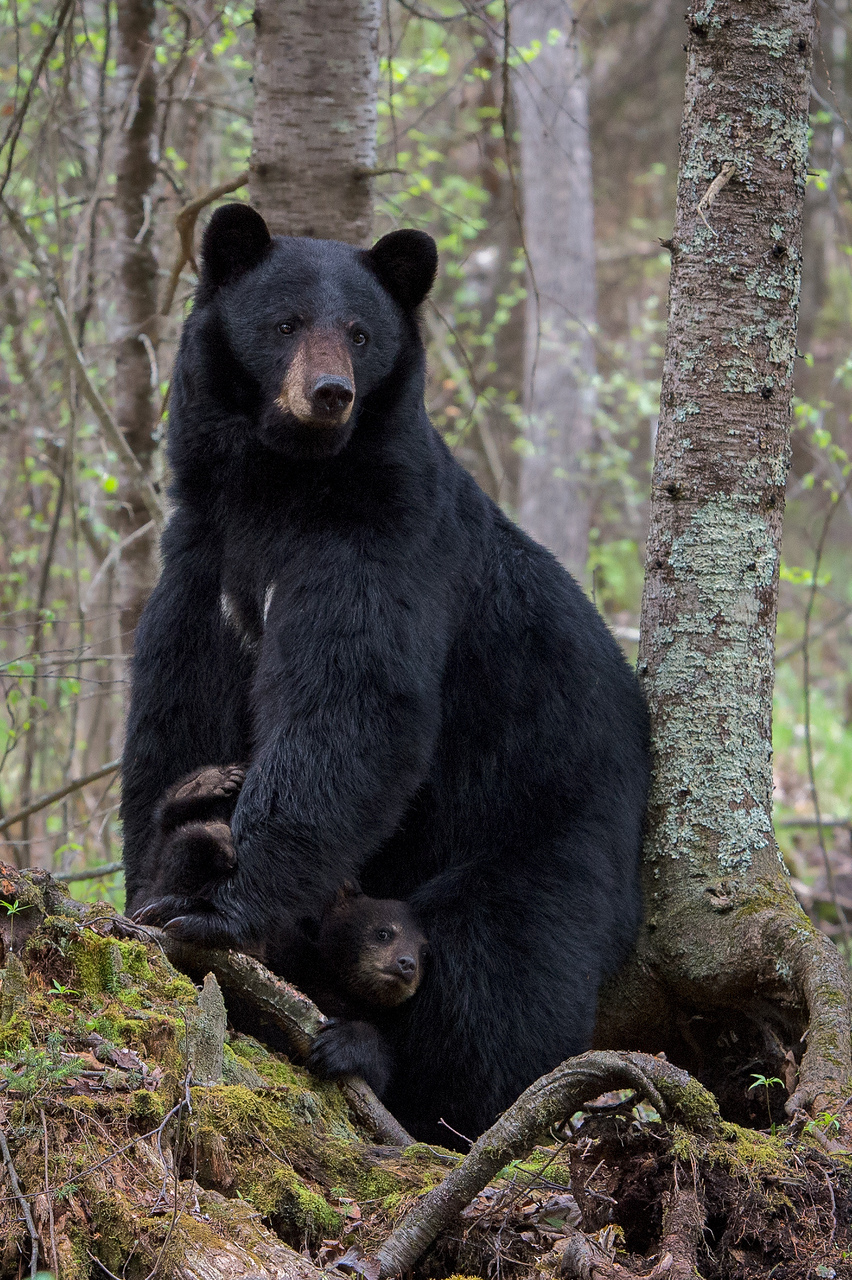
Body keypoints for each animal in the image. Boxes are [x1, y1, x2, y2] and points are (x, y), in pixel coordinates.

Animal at [120, 202, 650, 1147]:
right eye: (286, 322)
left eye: (361, 333)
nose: (331, 393)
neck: (283, 486)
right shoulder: (203, 557)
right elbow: (174, 709)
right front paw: (166, 862)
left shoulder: (384, 545)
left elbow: (355, 706)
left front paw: (218, 905)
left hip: (546, 825)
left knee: (503, 971)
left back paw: (432, 1098)